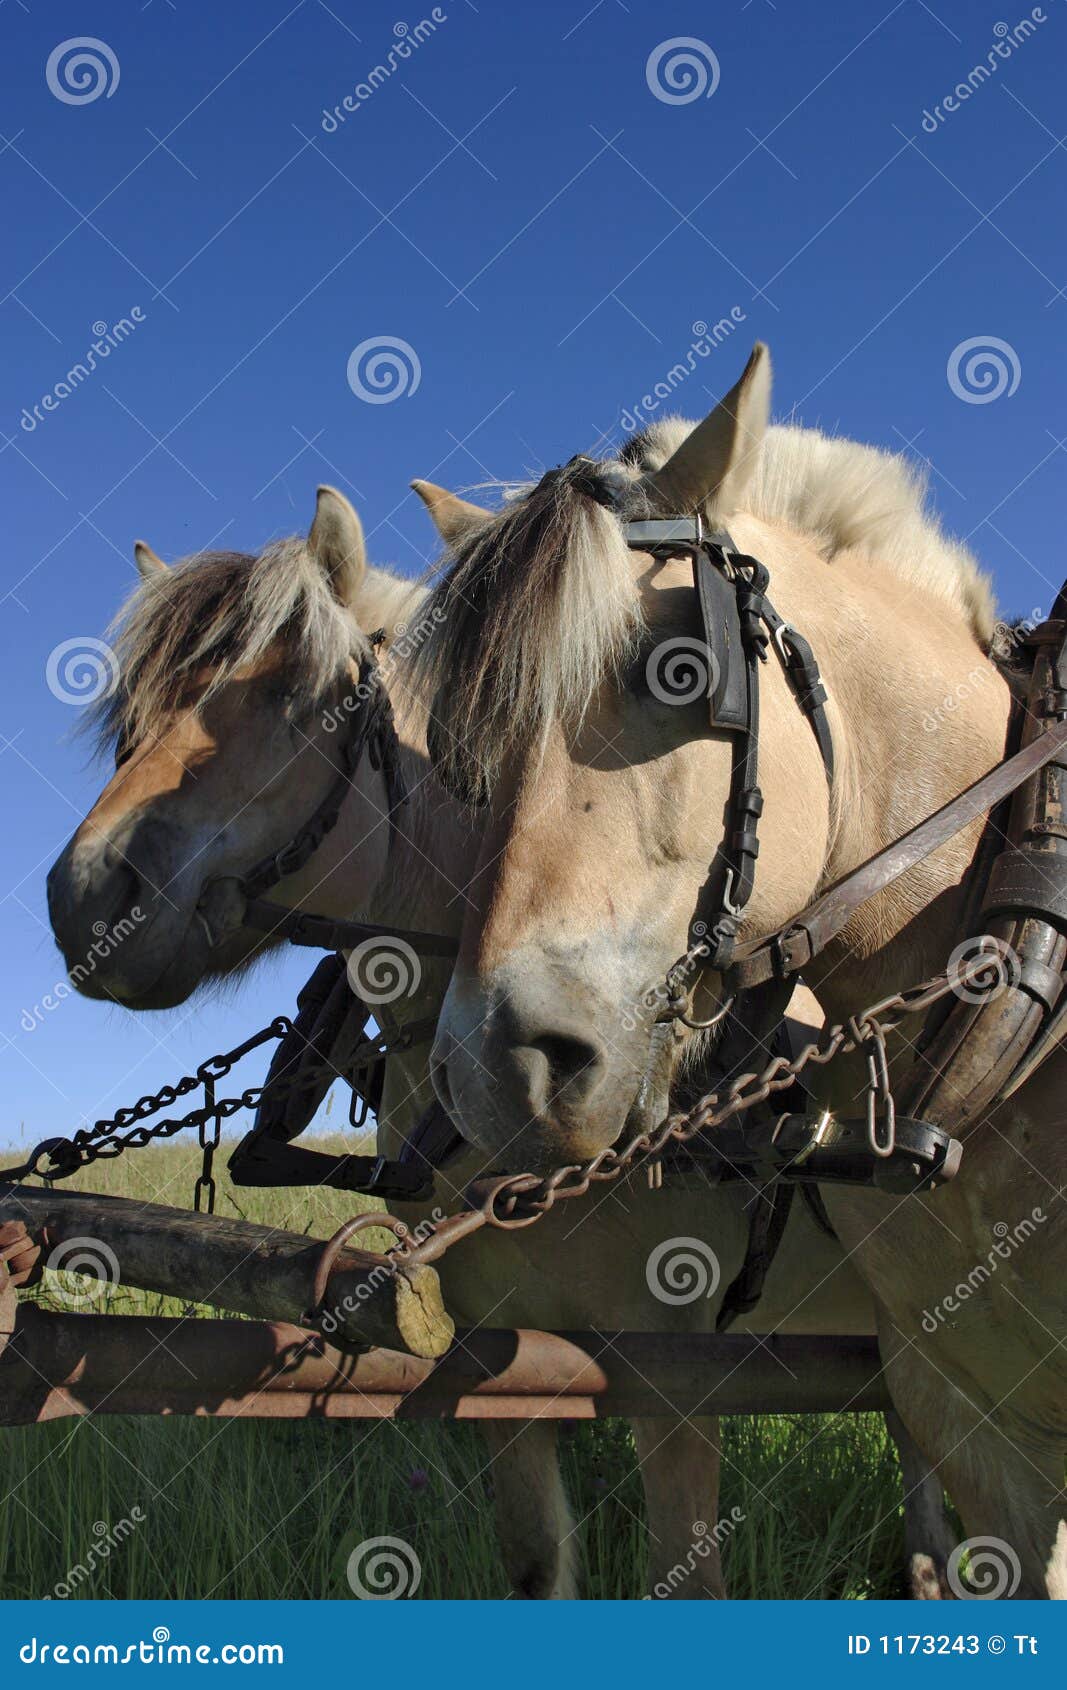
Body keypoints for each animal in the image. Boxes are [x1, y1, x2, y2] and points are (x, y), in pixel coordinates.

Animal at [46, 484, 950, 1599]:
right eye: (131, 719)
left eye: (304, 699)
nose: (84, 896)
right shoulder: (495, 1361)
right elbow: (533, 1560)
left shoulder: (673, 1378)